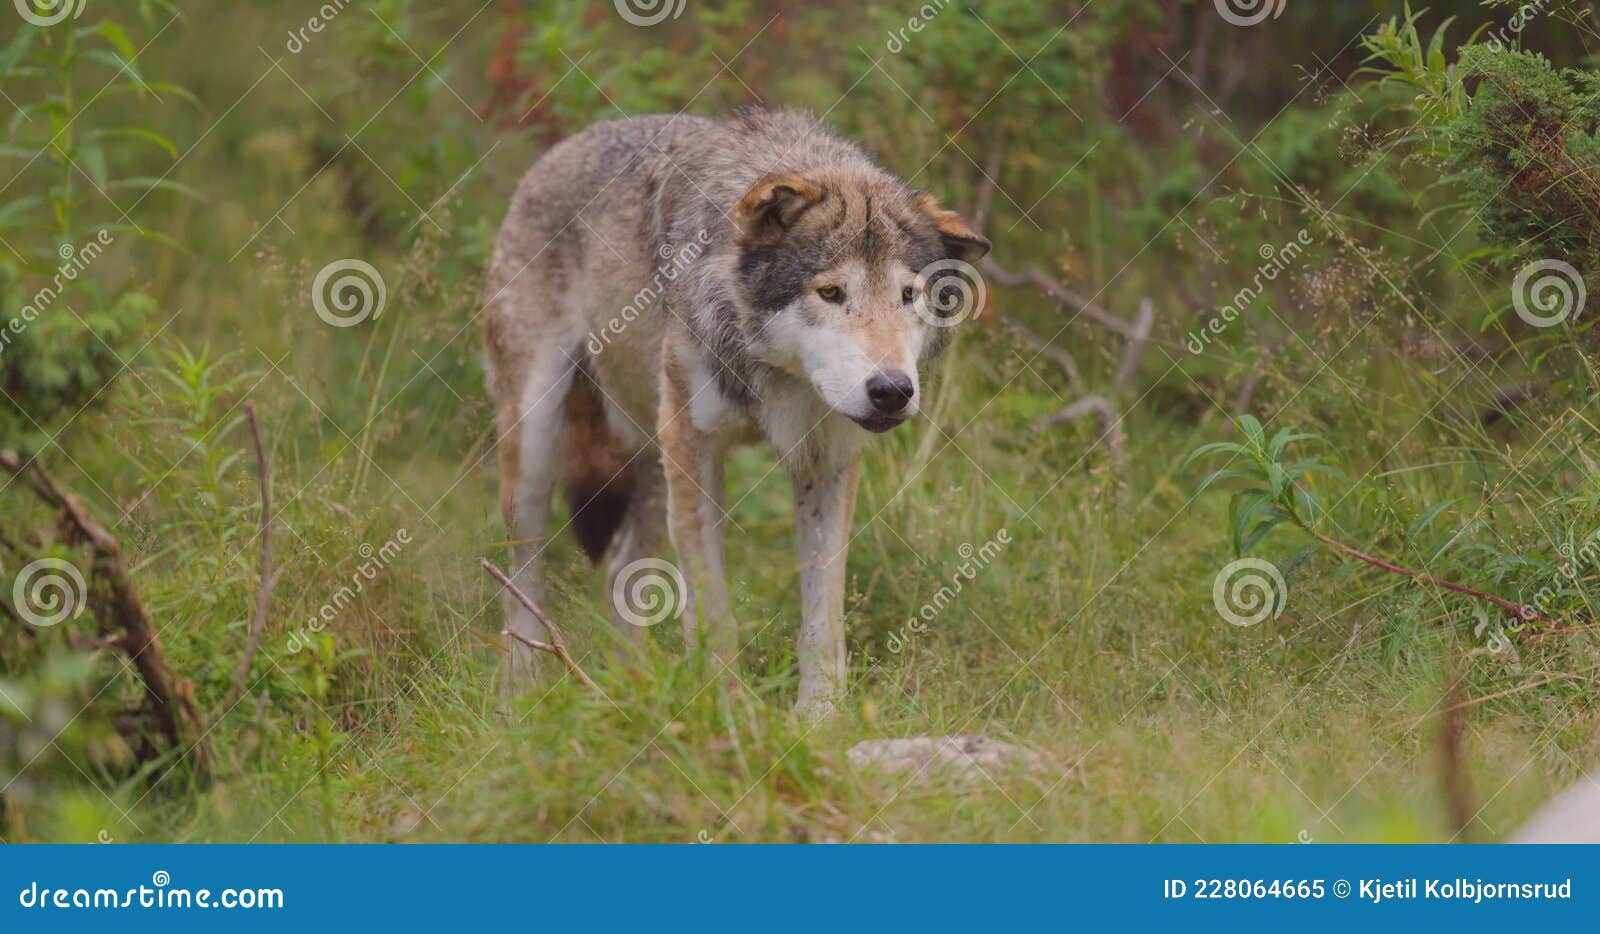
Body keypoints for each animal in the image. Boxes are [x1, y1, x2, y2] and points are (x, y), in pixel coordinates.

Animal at [482, 108, 989, 720]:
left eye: (909, 295)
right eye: (831, 292)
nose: (891, 390)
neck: (775, 375)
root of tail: (559, 151)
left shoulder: (828, 460)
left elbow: (824, 614)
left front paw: (819, 719)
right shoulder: (695, 447)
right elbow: (711, 609)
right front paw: (728, 710)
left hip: (653, 469)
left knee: (621, 569)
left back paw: (634, 688)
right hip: (539, 448)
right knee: (523, 573)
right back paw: (519, 692)